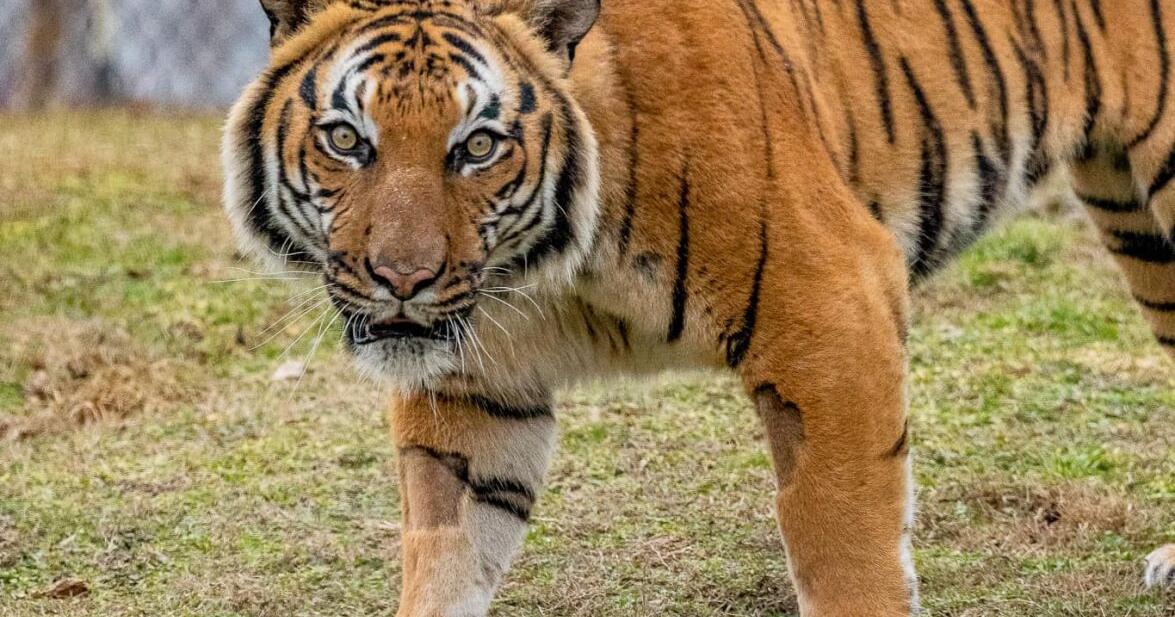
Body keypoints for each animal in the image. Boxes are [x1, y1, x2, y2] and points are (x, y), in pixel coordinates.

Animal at [222, 0, 1175, 614]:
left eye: (478, 145)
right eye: (347, 139)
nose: (403, 278)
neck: (539, 268)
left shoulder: (833, 300)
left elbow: (842, 545)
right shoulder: (475, 392)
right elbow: (446, 554)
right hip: (1134, 219)